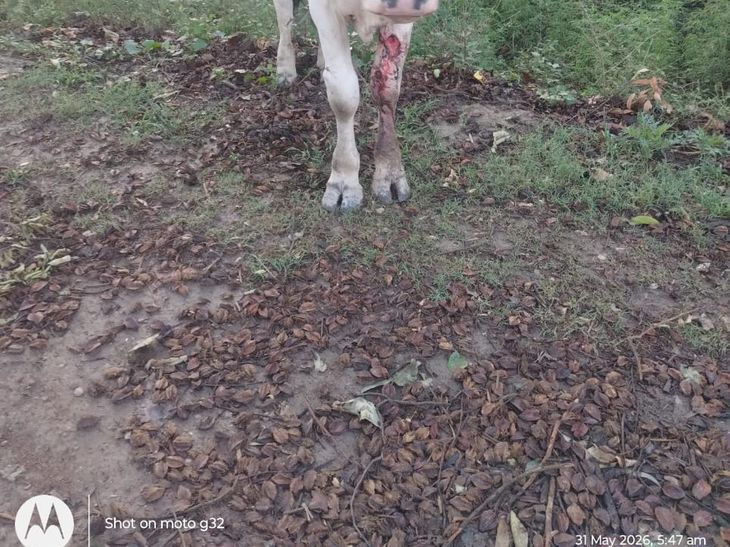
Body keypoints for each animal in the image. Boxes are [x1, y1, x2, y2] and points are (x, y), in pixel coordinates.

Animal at [272, 0, 439, 211]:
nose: (405, 4)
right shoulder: (324, 8)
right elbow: (343, 95)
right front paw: (345, 180)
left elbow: (387, 89)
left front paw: (389, 171)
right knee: (284, 20)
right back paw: (285, 71)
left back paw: (322, 63)